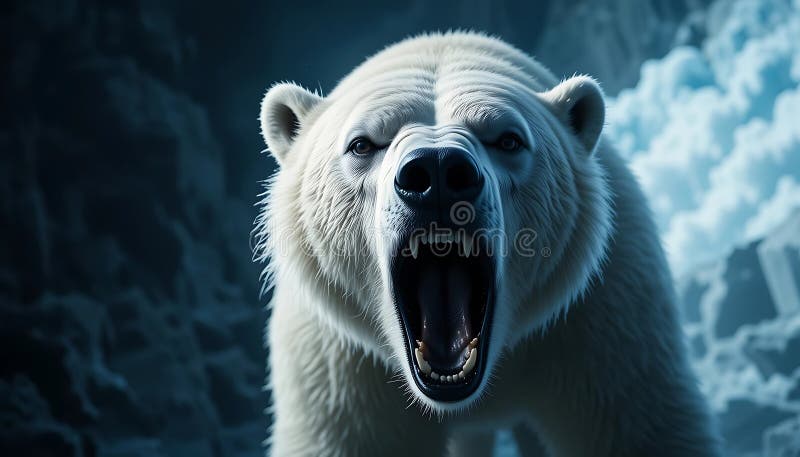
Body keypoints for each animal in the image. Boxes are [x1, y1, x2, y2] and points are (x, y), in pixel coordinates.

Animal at [254, 32, 721, 457]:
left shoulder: (599, 325)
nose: (437, 172)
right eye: (362, 144)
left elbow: (639, 426)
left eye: (508, 139)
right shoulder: (341, 369)